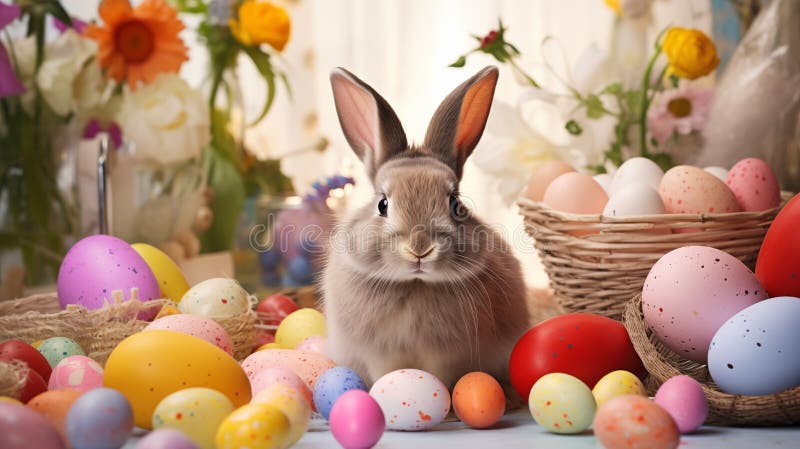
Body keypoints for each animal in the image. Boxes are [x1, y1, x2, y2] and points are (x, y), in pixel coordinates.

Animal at [322, 66, 531, 394]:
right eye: (382, 204)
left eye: (456, 204)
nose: (419, 248)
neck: (414, 284)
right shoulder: (379, 355)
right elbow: (385, 374)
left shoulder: (449, 357)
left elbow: (441, 378)